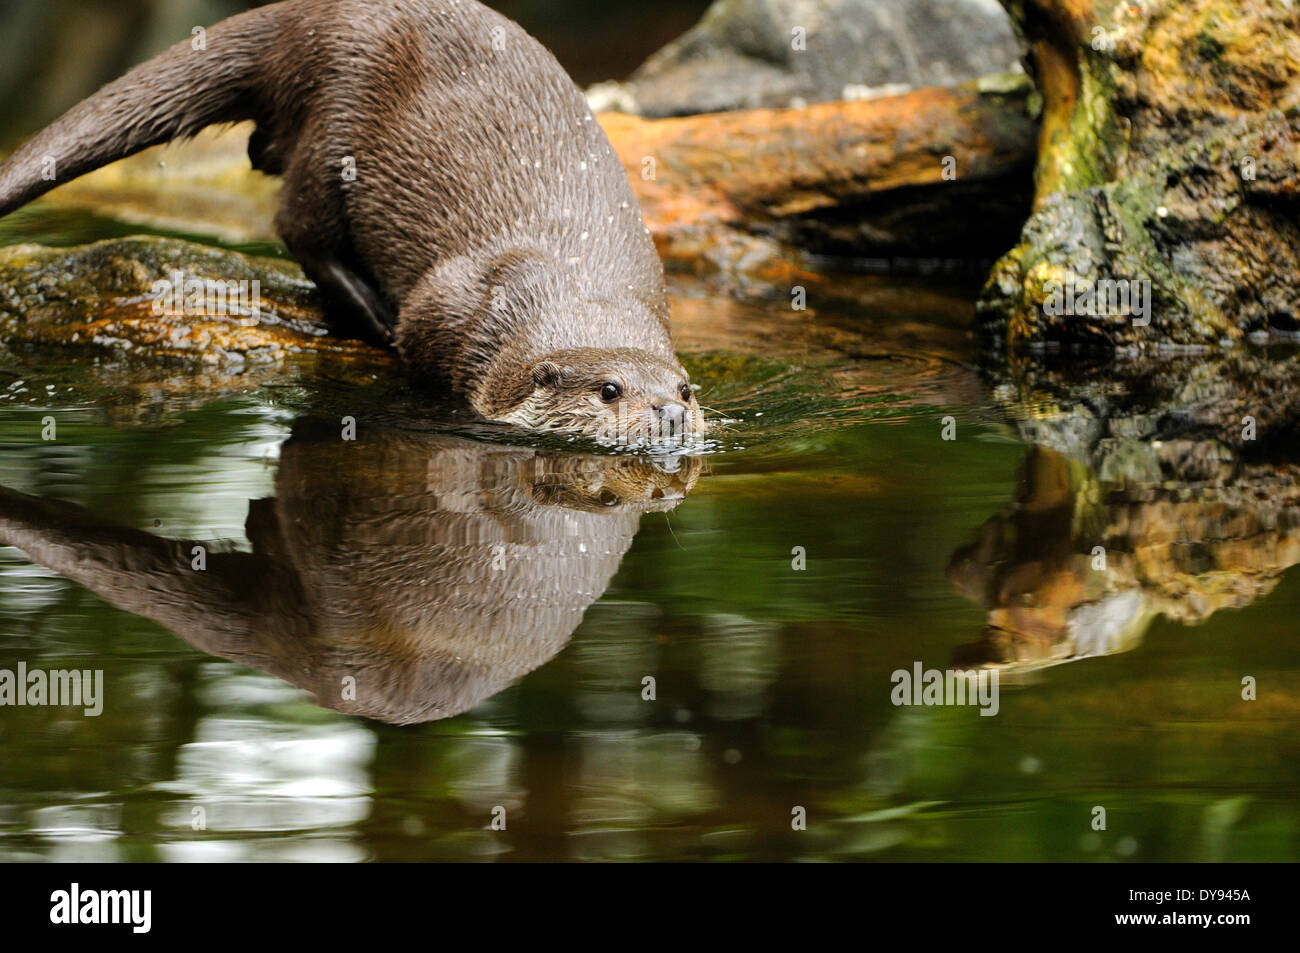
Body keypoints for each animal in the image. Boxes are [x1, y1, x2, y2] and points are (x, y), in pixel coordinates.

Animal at [0, 0, 704, 442]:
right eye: (609, 390)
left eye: (687, 390)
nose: (669, 414)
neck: (575, 280)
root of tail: (312, 16)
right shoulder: (452, 302)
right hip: (338, 116)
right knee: (296, 219)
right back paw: (368, 310)